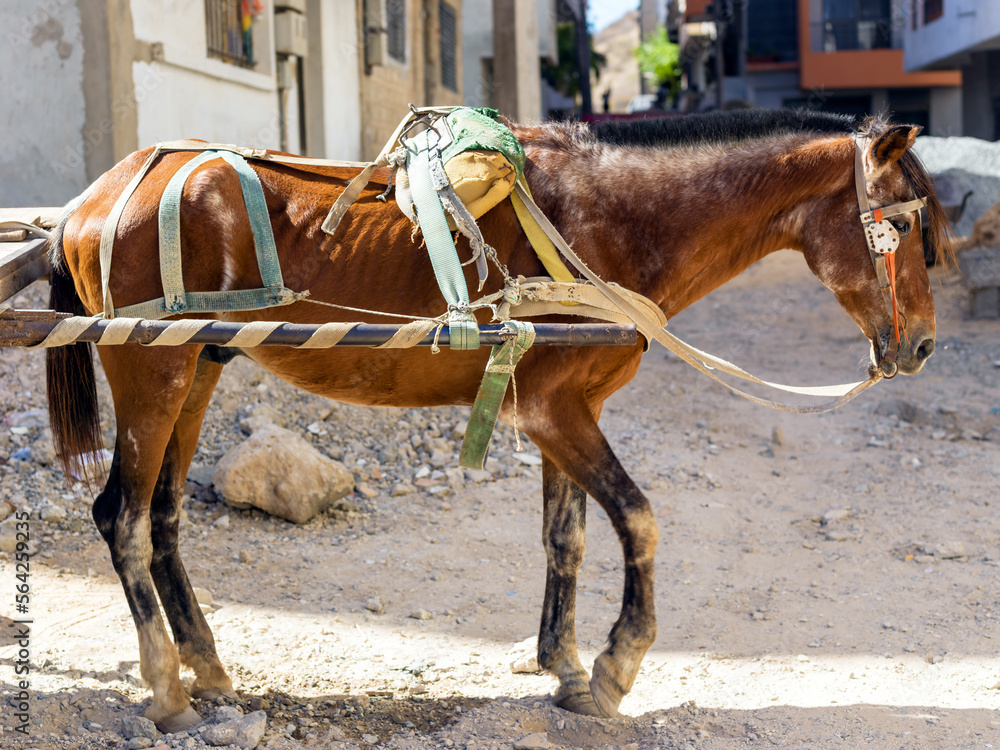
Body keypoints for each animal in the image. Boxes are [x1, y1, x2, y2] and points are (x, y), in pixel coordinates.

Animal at [44, 109, 950, 731]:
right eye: (904, 224)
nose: (922, 347)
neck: (608, 219)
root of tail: (94, 198)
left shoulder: (562, 411)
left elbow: (567, 536)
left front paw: (564, 666)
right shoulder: (555, 411)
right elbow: (640, 519)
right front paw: (617, 666)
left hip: (196, 369)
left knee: (162, 516)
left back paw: (206, 666)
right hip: (151, 372)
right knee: (121, 516)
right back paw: (167, 690)